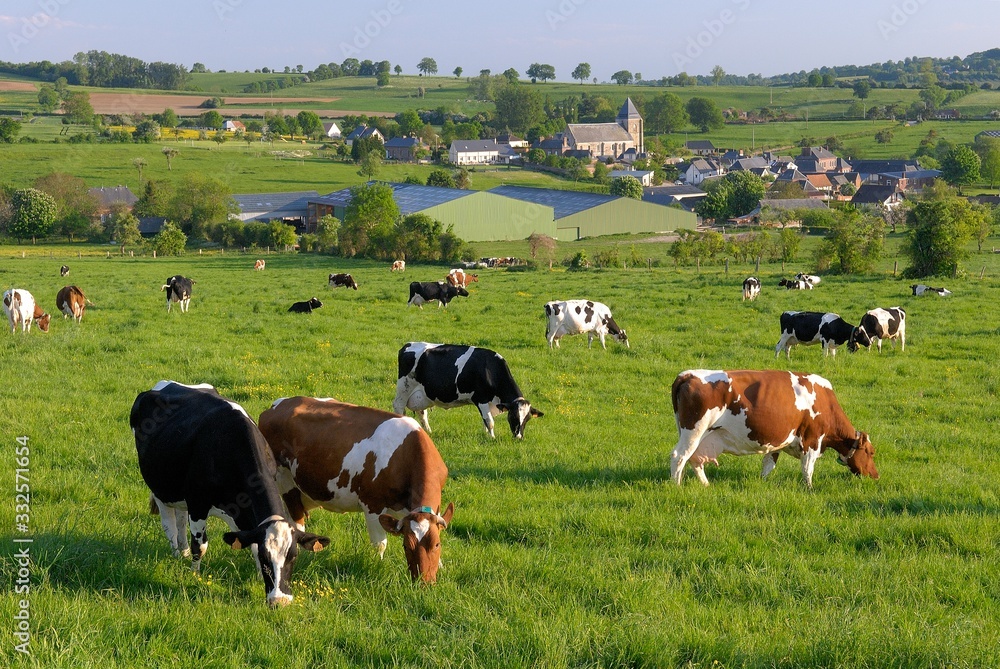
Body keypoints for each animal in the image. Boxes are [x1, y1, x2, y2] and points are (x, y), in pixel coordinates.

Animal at [131, 381, 330, 607]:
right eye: (266, 557)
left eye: (293, 556)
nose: (280, 600)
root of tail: (166, 384)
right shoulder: (198, 503)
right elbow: (201, 545)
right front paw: (194, 576)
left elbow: (250, 543)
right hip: (160, 488)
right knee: (169, 525)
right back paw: (176, 553)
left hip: (179, 493)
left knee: (180, 519)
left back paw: (183, 551)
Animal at [259, 397, 454, 584]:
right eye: (406, 546)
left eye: (436, 545)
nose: (424, 582)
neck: (405, 454)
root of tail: (278, 405)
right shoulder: (372, 505)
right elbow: (379, 544)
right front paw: (377, 566)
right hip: (284, 481)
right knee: (297, 520)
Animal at [393, 342, 543, 439]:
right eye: (513, 416)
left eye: (527, 419)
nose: (519, 437)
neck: (490, 369)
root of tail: (407, 345)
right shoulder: (481, 398)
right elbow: (489, 421)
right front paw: (492, 438)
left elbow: (485, 421)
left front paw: (486, 435)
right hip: (404, 388)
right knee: (399, 407)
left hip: (422, 394)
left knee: (422, 413)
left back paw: (428, 432)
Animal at [670, 369, 878, 488]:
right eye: (870, 452)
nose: (876, 475)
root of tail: (688, 375)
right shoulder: (812, 439)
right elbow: (807, 468)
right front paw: (809, 489)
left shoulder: (778, 442)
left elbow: (769, 465)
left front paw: (762, 483)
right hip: (694, 430)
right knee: (679, 456)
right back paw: (676, 486)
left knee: (694, 459)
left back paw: (705, 484)